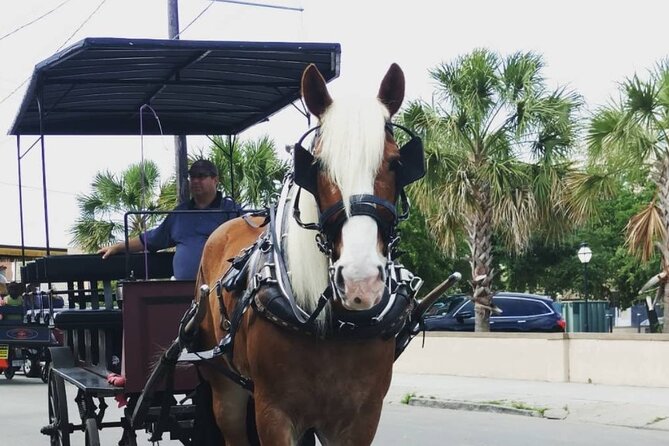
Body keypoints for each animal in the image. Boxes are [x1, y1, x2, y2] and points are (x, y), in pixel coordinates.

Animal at [190, 62, 425, 445]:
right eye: (317, 165)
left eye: (395, 163)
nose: (360, 281)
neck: (336, 326)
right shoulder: (273, 413)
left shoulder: (362, 417)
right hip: (226, 390)